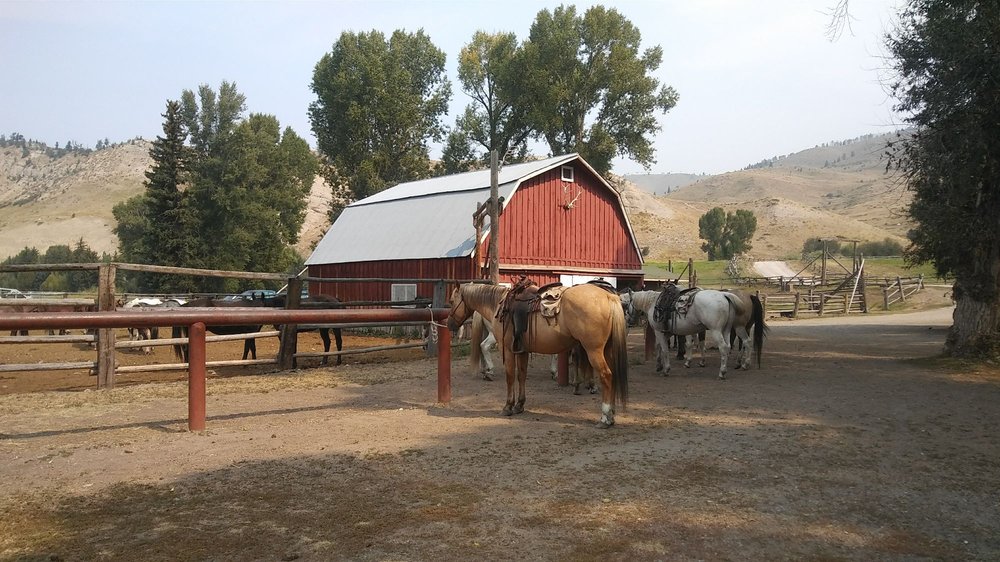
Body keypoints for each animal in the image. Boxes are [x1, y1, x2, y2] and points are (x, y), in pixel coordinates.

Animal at [447, 281, 629, 428]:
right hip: (607, 350)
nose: (449, 325)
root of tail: (608, 296)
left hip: (593, 351)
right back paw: (611, 416)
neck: (499, 305)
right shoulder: (522, 350)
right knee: (613, 376)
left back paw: (604, 418)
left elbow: (510, 377)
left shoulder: (508, 349)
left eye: (451, 301)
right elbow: (521, 375)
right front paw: (519, 405)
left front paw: (508, 407)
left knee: (606, 376)